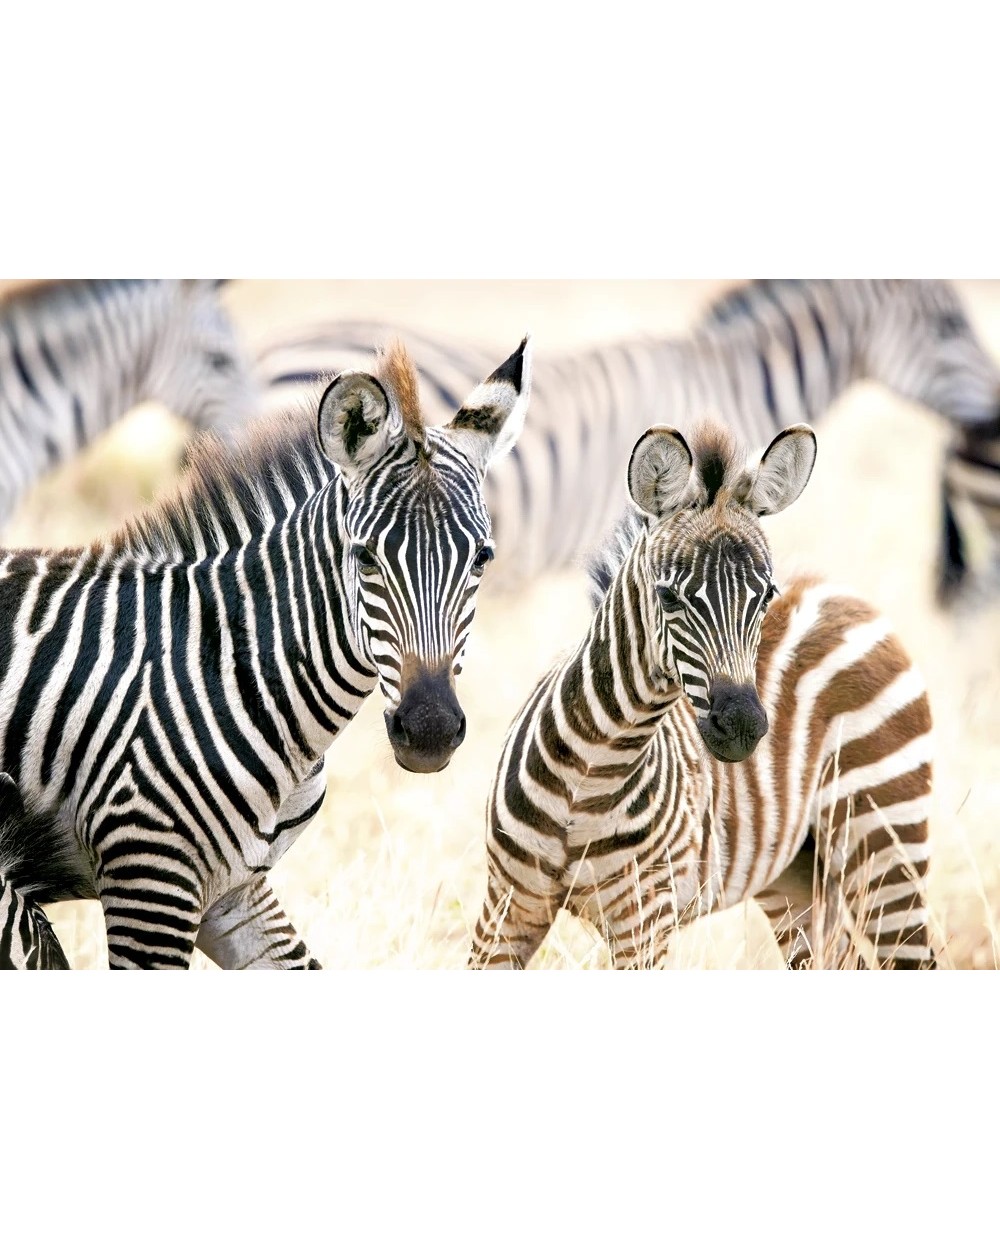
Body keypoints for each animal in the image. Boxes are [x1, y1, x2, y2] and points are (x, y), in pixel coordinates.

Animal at [0, 335, 531, 969]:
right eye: (364, 557)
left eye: (481, 558)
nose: (429, 730)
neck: (230, 664)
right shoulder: (148, 880)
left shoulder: (233, 891)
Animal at [468, 420, 935, 970]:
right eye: (669, 597)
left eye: (766, 596)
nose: (743, 727)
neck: (591, 773)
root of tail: (844, 596)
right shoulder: (507, 907)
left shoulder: (644, 923)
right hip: (798, 877)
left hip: (887, 841)